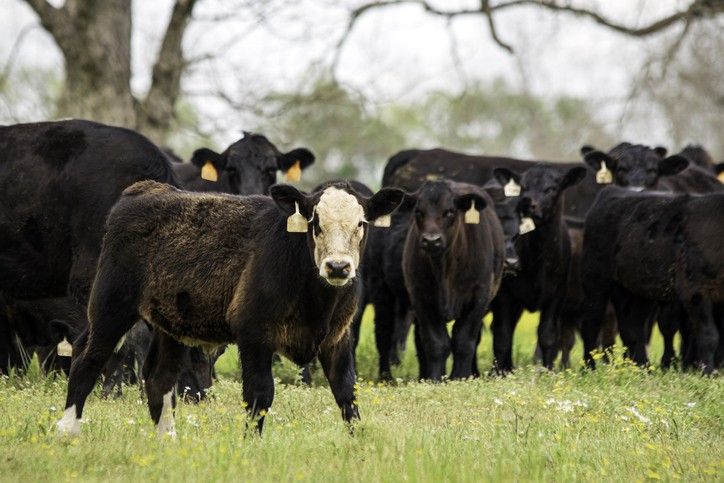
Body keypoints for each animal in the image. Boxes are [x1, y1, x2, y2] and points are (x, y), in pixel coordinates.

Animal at [56, 180, 404, 436]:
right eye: (315, 221)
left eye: (361, 223)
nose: (338, 267)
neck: (318, 300)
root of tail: (145, 189)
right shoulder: (254, 333)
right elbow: (260, 394)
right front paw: (252, 446)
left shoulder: (338, 337)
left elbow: (347, 393)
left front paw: (357, 446)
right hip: (110, 305)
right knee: (87, 358)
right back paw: (67, 431)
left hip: (170, 325)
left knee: (159, 377)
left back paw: (168, 440)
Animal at [402, 180, 504, 380]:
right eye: (418, 211)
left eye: (449, 211)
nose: (431, 240)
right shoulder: (420, 297)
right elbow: (436, 343)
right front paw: (434, 379)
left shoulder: (479, 297)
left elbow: (463, 341)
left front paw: (460, 377)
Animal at [490, 165, 587, 371]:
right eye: (523, 187)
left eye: (551, 189)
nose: (527, 203)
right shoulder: (504, 295)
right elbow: (502, 336)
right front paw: (498, 372)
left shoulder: (557, 296)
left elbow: (548, 336)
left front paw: (547, 370)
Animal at [581, 188, 724, 374]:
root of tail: (612, 191)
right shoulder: (695, 290)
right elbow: (708, 335)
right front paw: (707, 372)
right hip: (595, 280)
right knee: (592, 321)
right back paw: (588, 367)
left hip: (636, 289)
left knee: (633, 327)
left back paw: (643, 367)